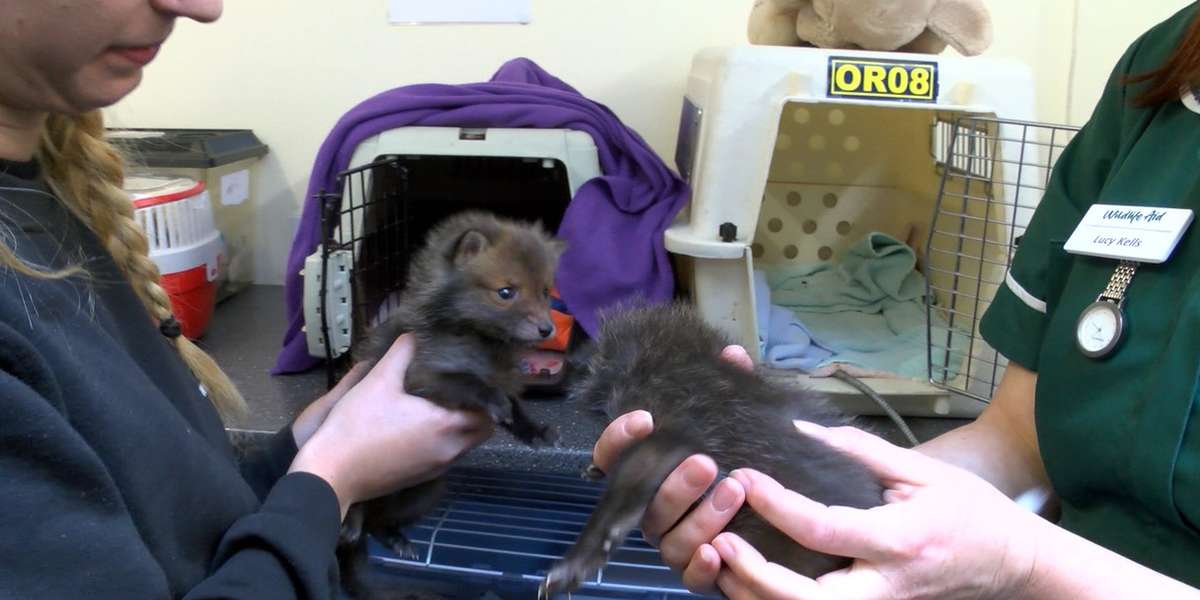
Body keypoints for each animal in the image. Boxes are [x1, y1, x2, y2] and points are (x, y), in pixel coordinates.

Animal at [337, 210, 564, 597]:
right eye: (506, 292)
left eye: (546, 291)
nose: (548, 329)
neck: (483, 344)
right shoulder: (421, 376)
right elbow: (470, 384)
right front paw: (492, 399)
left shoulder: (505, 379)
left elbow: (516, 407)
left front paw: (533, 431)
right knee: (358, 504)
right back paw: (351, 521)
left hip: (424, 491)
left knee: (377, 522)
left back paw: (396, 540)